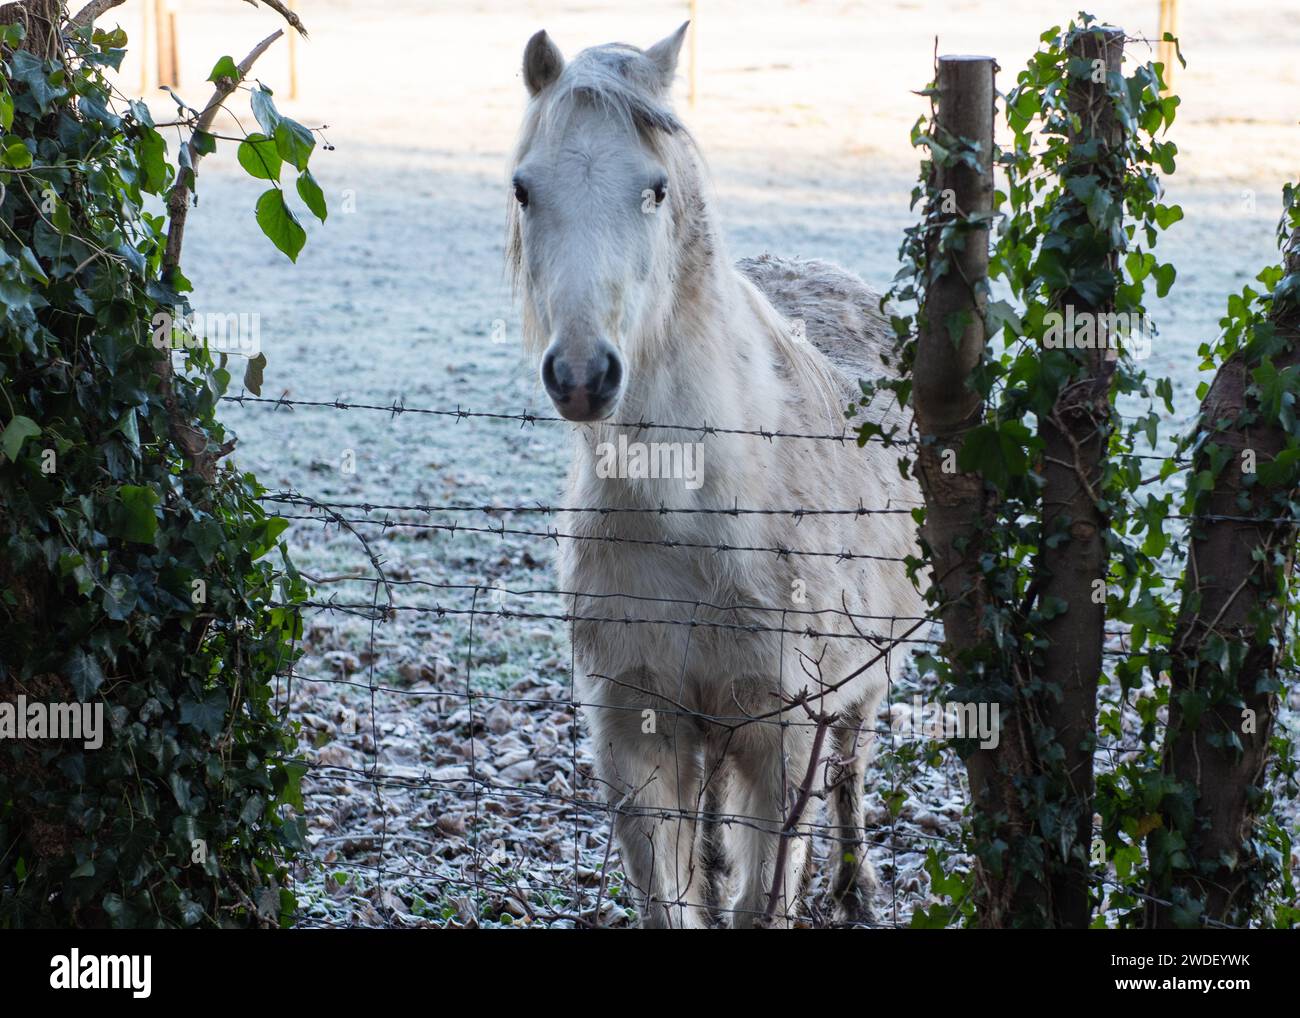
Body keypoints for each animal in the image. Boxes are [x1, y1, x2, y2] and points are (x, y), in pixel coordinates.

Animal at [506, 23, 924, 927]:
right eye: (525, 189)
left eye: (655, 190)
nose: (583, 375)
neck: (689, 508)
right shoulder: (637, 727)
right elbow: (669, 895)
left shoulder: (782, 732)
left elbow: (766, 891)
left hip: (863, 678)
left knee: (852, 762)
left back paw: (855, 884)